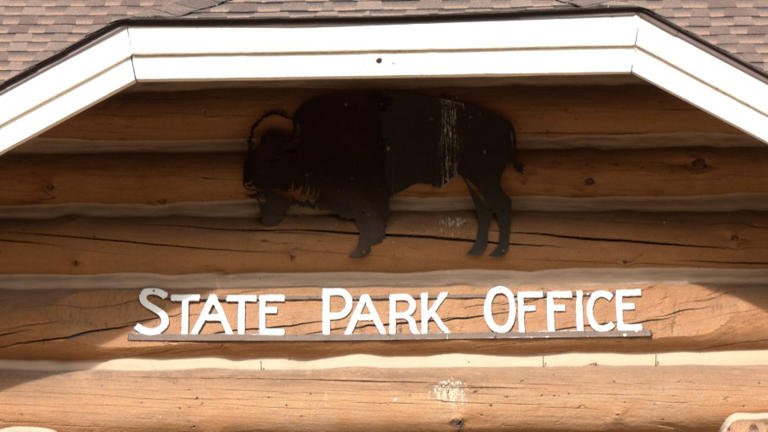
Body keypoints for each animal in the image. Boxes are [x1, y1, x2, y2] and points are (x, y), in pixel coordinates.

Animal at [243, 91, 523, 258]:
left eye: (272, 157)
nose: (247, 181)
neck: (309, 146)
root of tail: (506, 126)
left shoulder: (369, 195)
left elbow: (370, 222)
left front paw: (360, 251)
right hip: (470, 180)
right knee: (484, 210)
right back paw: (477, 250)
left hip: (483, 179)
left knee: (502, 204)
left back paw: (498, 252)